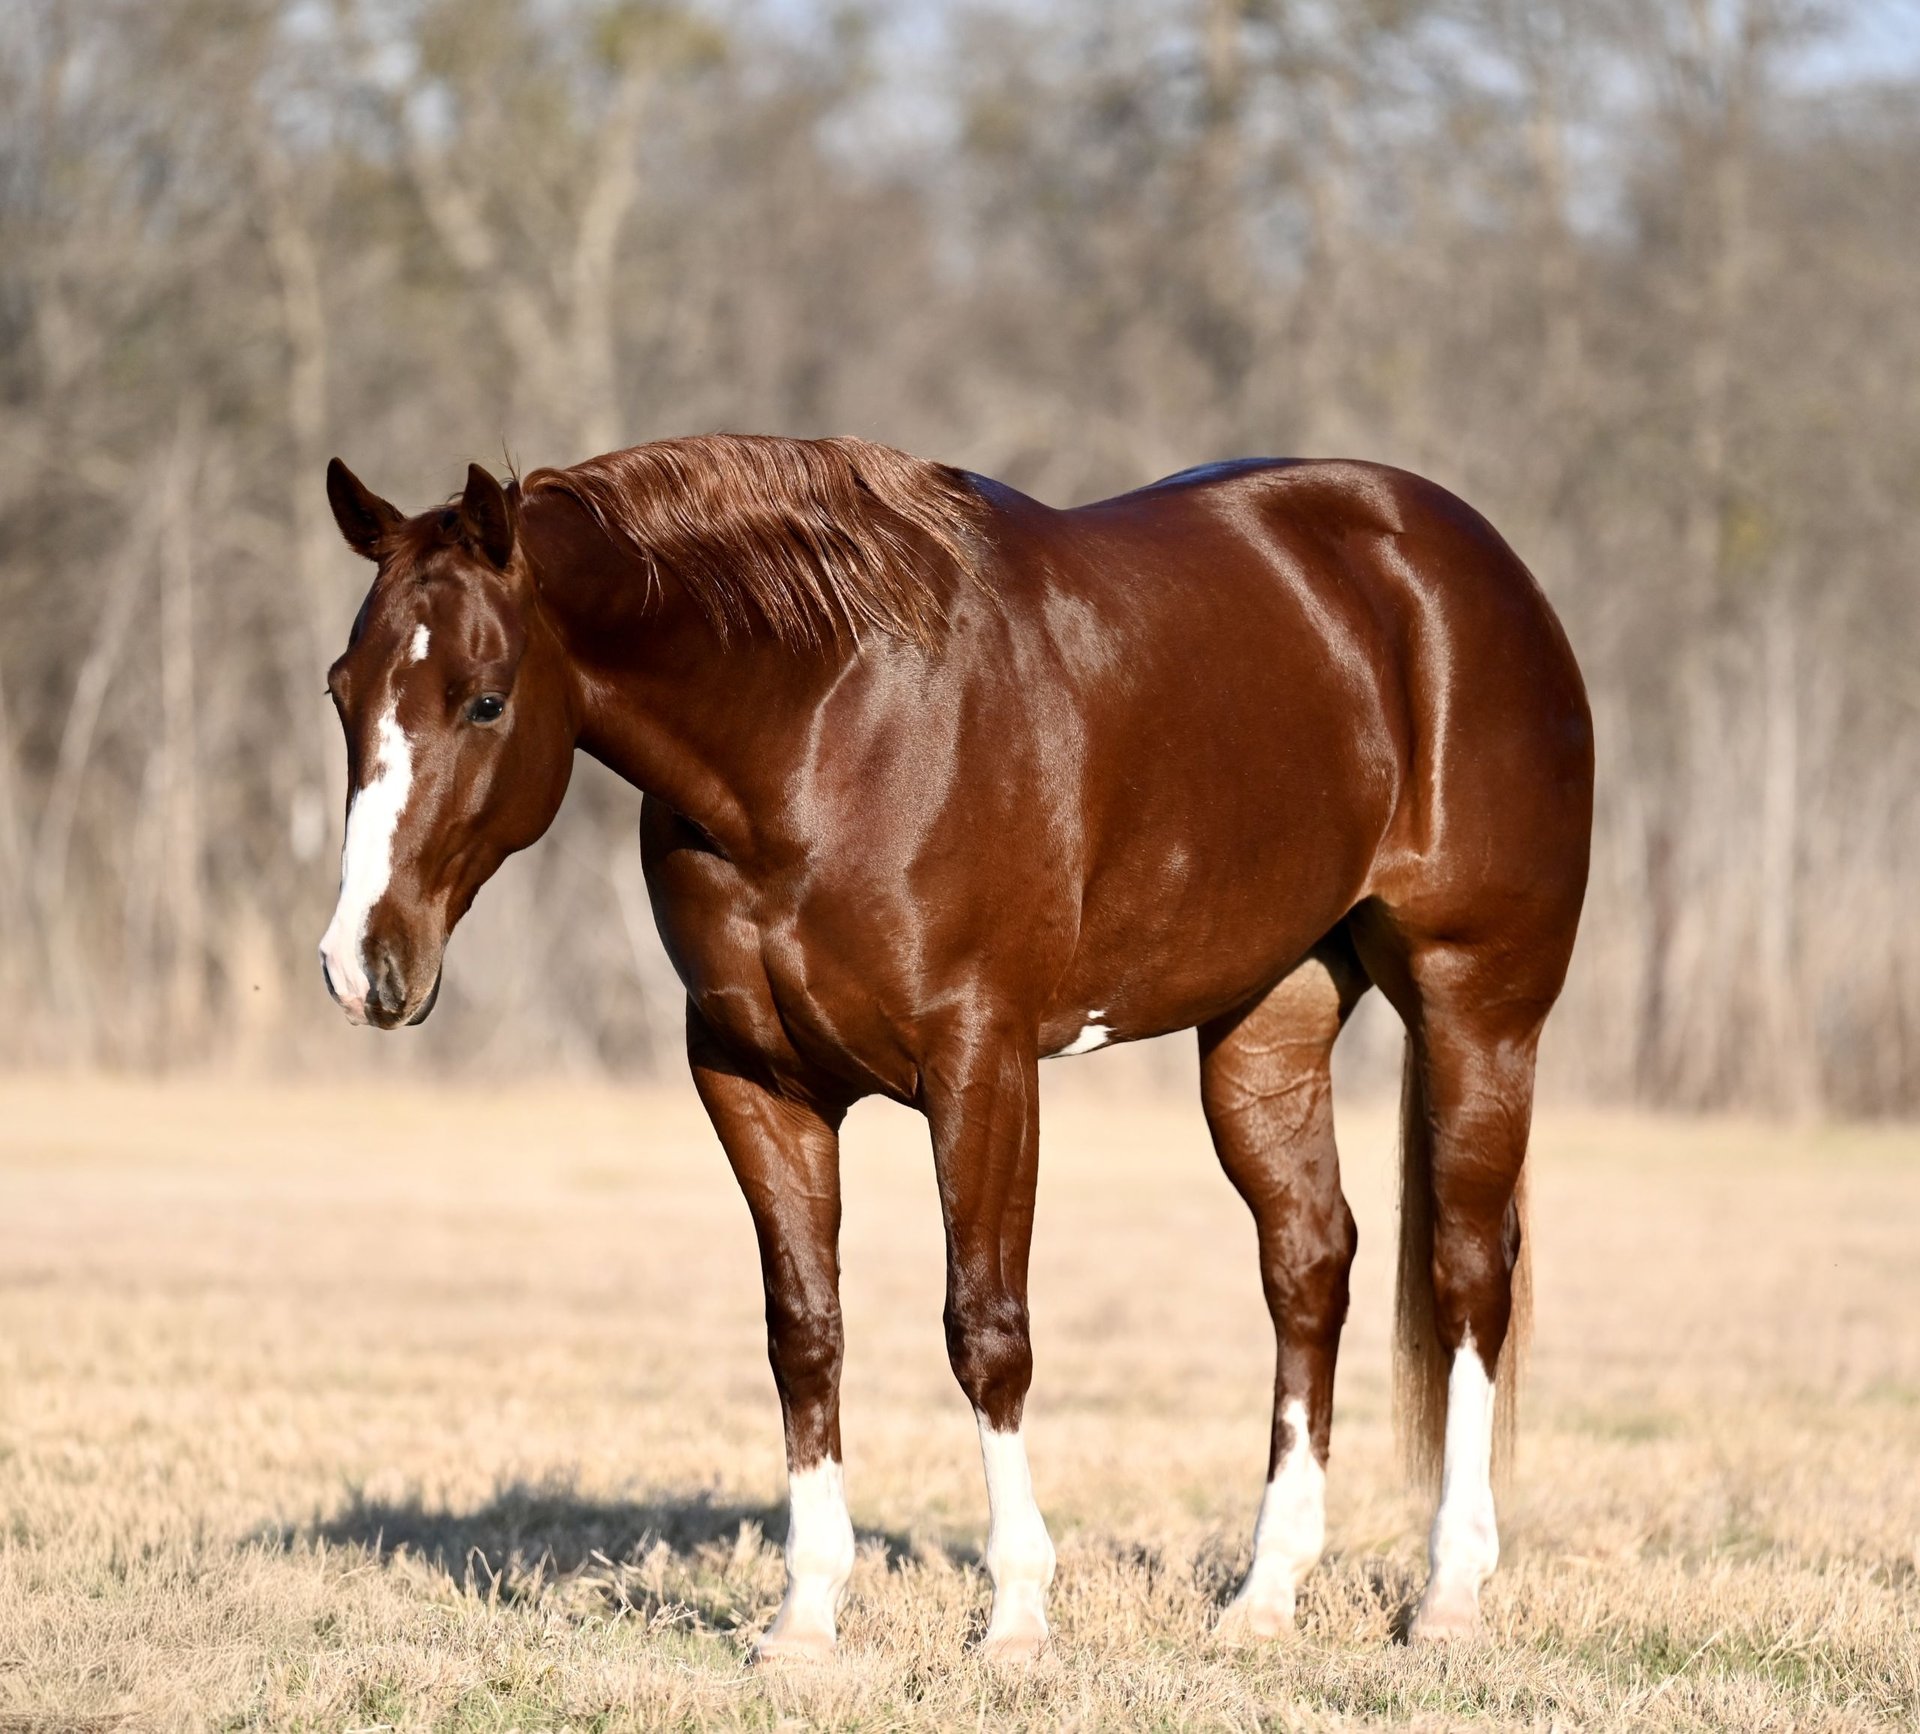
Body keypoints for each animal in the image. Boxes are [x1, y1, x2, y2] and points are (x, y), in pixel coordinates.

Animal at [317, 434, 1592, 1660]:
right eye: (342, 691)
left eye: (485, 700)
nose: (360, 963)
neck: (819, 725)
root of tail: (1472, 566)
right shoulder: (752, 1079)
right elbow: (805, 1333)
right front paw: (806, 1617)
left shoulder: (981, 1066)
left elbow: (986, 1330)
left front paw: (1018, 1615)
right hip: (1266, 1022)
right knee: (1309, 1264)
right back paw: (1264, 1597)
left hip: (1476, 1005)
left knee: (1467, 1275)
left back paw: (1448, 1597)